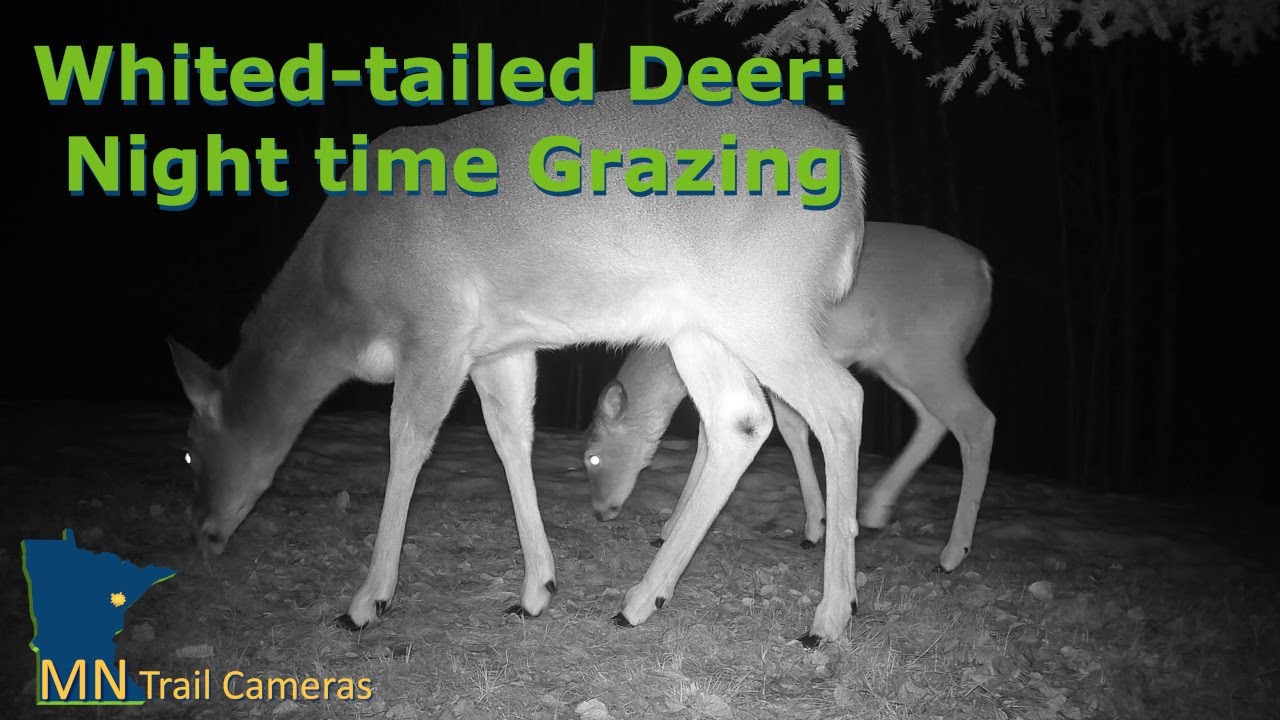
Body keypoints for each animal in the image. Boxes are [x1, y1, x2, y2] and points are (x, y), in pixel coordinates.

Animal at [167, 88, 870, 646]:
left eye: (191, 450)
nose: (201, 534)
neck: (336, 297)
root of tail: (852, 160)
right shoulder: (498, 346)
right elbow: (511, 439)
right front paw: (536, 589)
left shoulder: (436, 325)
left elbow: (407, 443)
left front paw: (368, 600)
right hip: (699, 325)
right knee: (740, 421)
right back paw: (643, 599)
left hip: (762, 303)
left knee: (840, 402)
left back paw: (829, 615)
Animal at [584, 222, 995, 572]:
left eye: (592, 457)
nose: (600, 512)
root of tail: (985, 269)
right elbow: (776, 429)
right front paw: (815, 524)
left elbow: (755, 431)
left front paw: (671, 528)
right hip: (901, 364)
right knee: (933, 420)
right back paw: (877, 508)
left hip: (931, 352)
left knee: (978, 421)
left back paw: (952, 553)